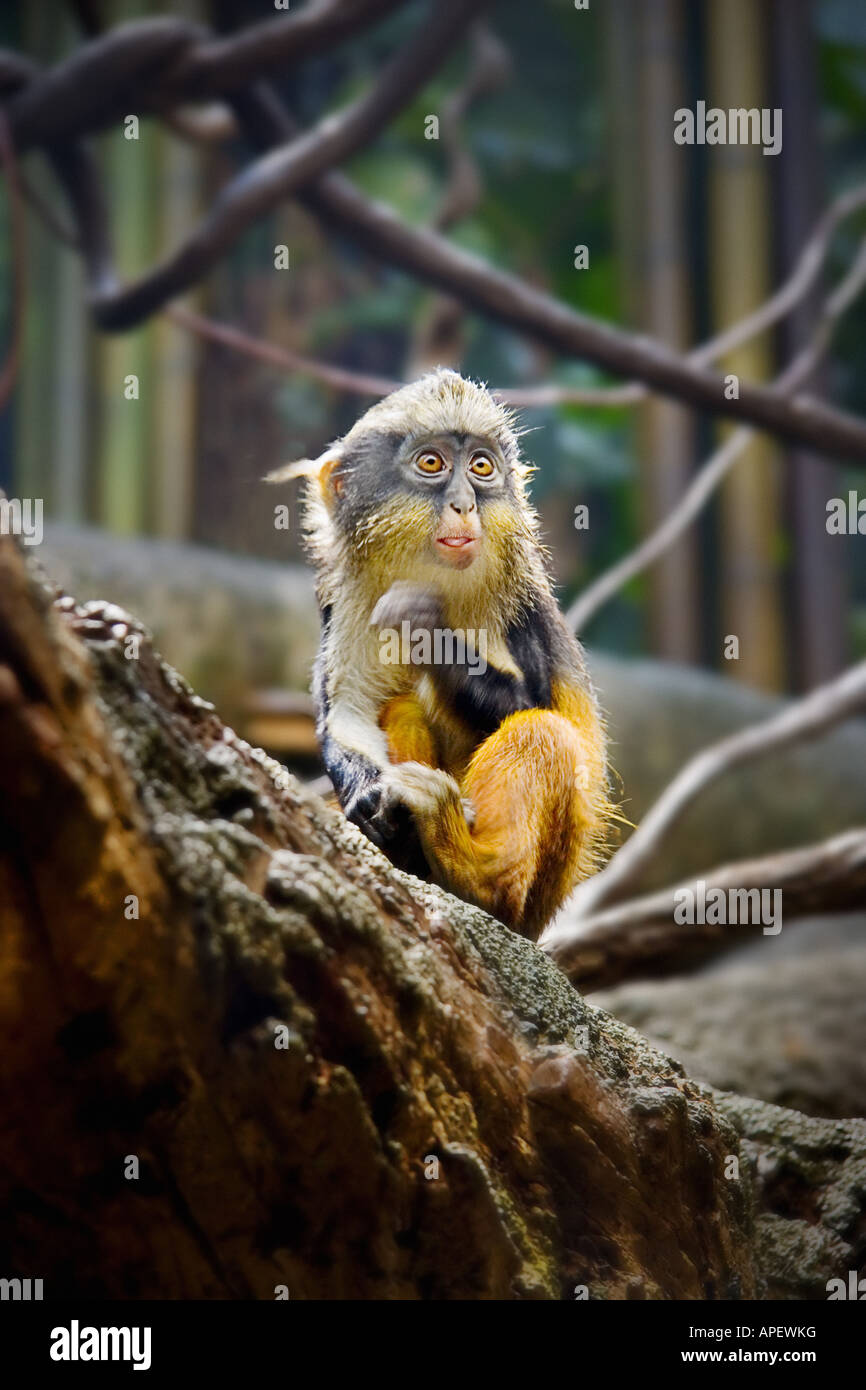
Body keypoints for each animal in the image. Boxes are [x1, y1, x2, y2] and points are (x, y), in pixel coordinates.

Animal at [267, 368, 611, 941]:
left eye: (481, 467)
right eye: (432, 463)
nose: (464, 504)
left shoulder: (521, 605)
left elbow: (533, 703)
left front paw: (428, 630)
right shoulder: (349, 599)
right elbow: (351, 710)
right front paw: (370, 801)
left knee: (541, 732)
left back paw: (475, 878)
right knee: (401, 706)